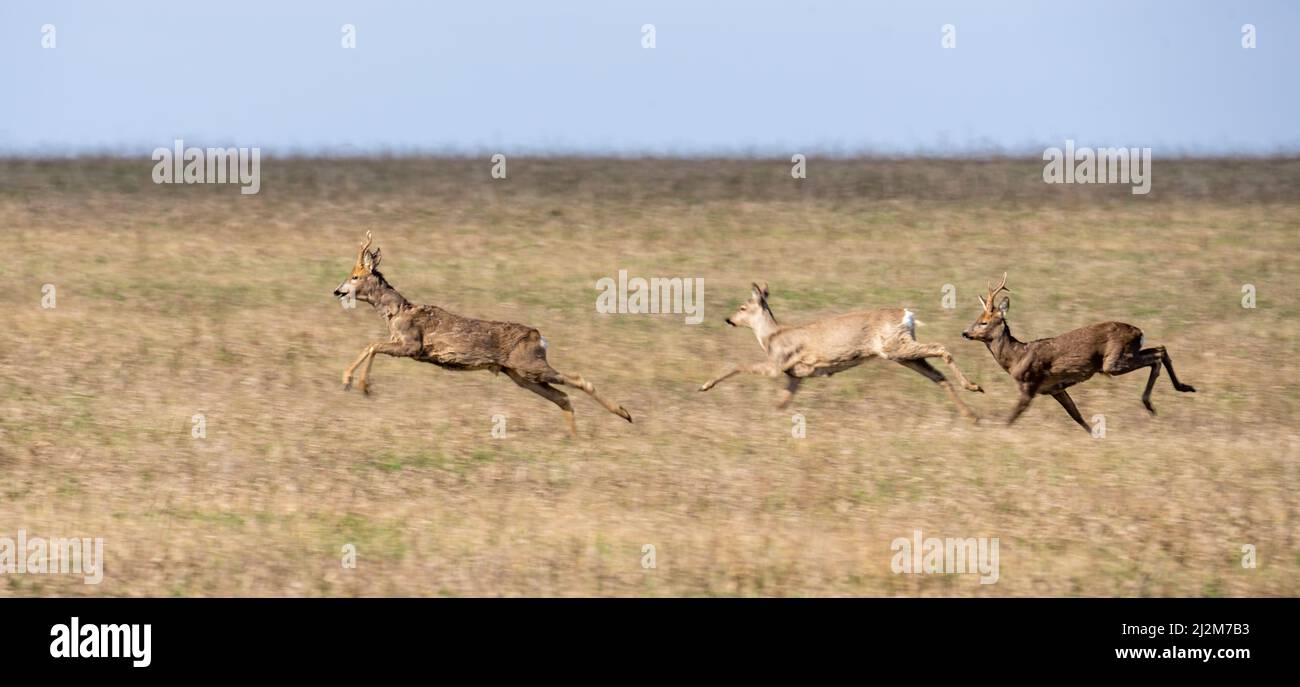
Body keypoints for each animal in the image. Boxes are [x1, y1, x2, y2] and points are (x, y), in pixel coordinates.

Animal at [332, 232, 632, 437]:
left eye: (355, 276)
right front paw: (356, 384)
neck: (396, 313)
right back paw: (575, 436)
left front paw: (358, 385)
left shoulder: (412, 345)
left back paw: (625, 413)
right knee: (562, 396)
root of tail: (539, 337)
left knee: (579, 380)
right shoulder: (405, 345)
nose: (337, 291)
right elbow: (372, 345)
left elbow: (372, 345)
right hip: (519, 374)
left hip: (530, 365)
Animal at [698, 282, 983, 422]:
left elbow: (739, 365)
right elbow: (782, 402)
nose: (728, 319)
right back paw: (972, 412)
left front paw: (705, 385)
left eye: (743, 307)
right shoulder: (795, 376)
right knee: (938, 376)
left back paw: (975, 387)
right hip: (902, 354)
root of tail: (907, 314)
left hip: (895, 347)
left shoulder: (776, 364)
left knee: (941, 348)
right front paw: (773, 417)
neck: (771, 337)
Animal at [961, 273, 1196, 432]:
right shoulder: (1055, 389)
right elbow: (1077, 415)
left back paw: (1155, 401)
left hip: (1113, 361)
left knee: (1157, 355)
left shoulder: (1030, 385)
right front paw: (1093, 435)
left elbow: (1012, 417)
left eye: (984, 322)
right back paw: (1177, 392)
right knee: (1160, 349)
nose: (965, 332)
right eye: (976, 319)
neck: (1016, 357)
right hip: (1125, 355)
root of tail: (1140, 332)